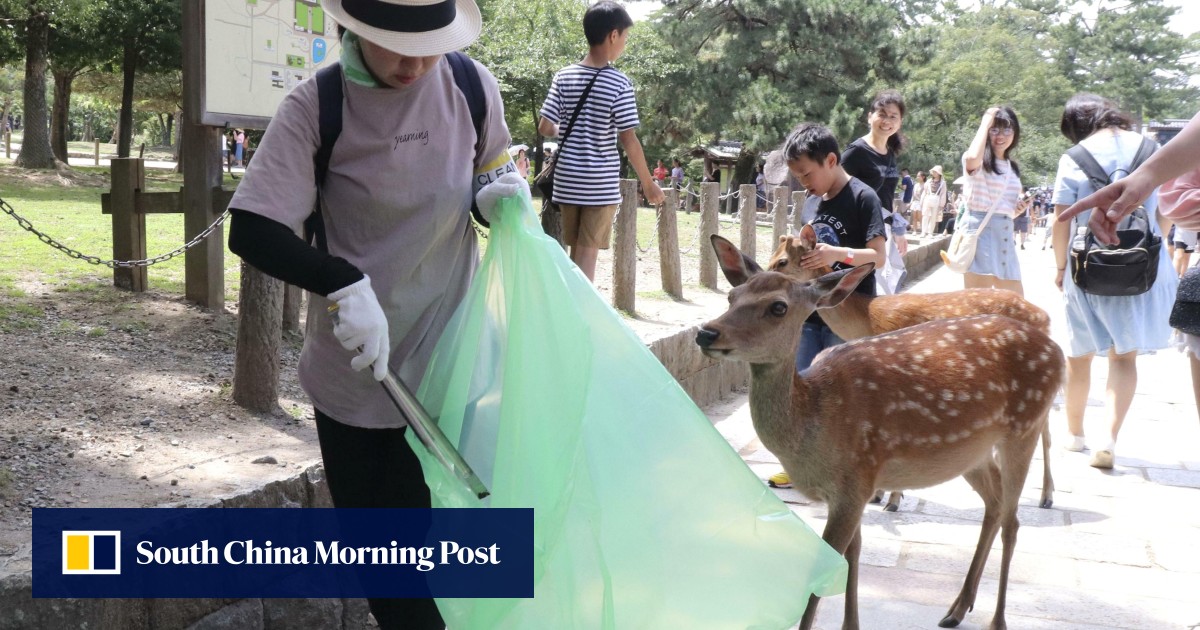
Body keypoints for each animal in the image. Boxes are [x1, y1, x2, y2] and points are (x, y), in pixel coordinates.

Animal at [696, 264, 1064, 630]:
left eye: (778, 307)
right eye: (732, 296)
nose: (706, 333)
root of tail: (1057, 349)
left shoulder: (855, 478)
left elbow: (825, 568)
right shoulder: (853, 490)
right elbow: (853, 554)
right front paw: (852, 625)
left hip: (1024, 425)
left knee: (1012, 521)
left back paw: (997, 619)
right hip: (972, 454)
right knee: (995, 505)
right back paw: (957, 609)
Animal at [711, 229, 1058, 511]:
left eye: (782, 261)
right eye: (770, 257)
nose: (748, 276)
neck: (868, 318)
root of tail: (1045, 316)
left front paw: (892, 499)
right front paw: (881, 495)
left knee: (1043, 429)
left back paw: (1046, 496)